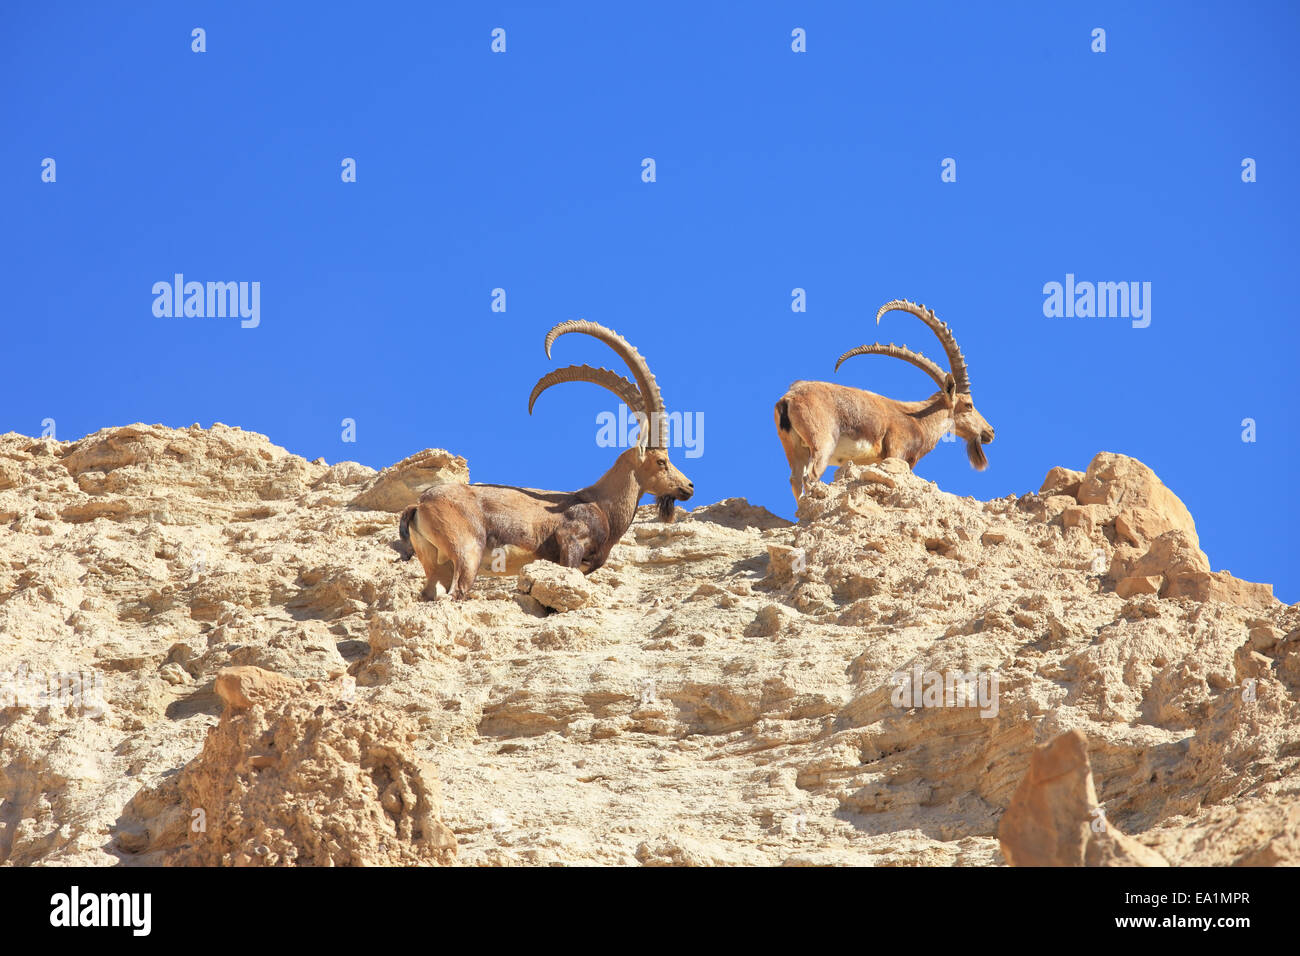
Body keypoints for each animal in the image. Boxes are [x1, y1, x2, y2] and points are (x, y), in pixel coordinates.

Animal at [399, 321, 694, 600]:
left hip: (435, 562)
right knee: (456, 592)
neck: (602, 504)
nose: (689, 487)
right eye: (661, 461)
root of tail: (419, 504)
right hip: (467, 552)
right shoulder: (570, 542)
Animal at [775, 299, 994, 504]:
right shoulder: (897, 451)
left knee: (795, 480)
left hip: (795, 448)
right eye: (969, 405)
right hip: (823, 443)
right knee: (810, 476)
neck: (919, 419)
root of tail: (789, 398)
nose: (990, 432)